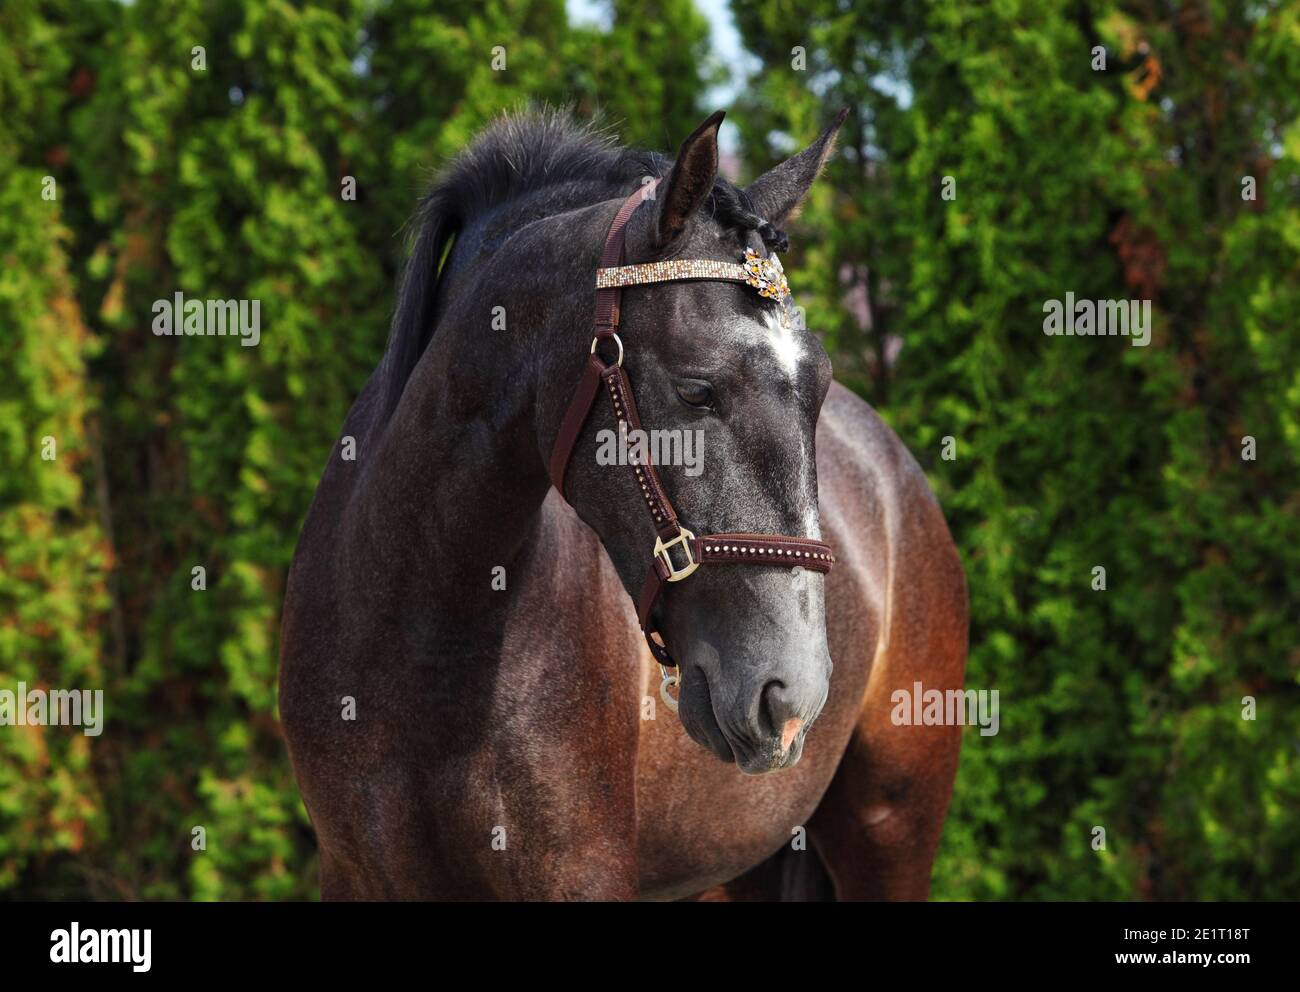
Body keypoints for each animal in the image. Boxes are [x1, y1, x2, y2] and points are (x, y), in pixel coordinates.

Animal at [278, 107, 968, 900]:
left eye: (819, 386)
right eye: (696, 390)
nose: (791, 695)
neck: (419, 631)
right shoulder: (355, 873)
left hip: (891, 830)